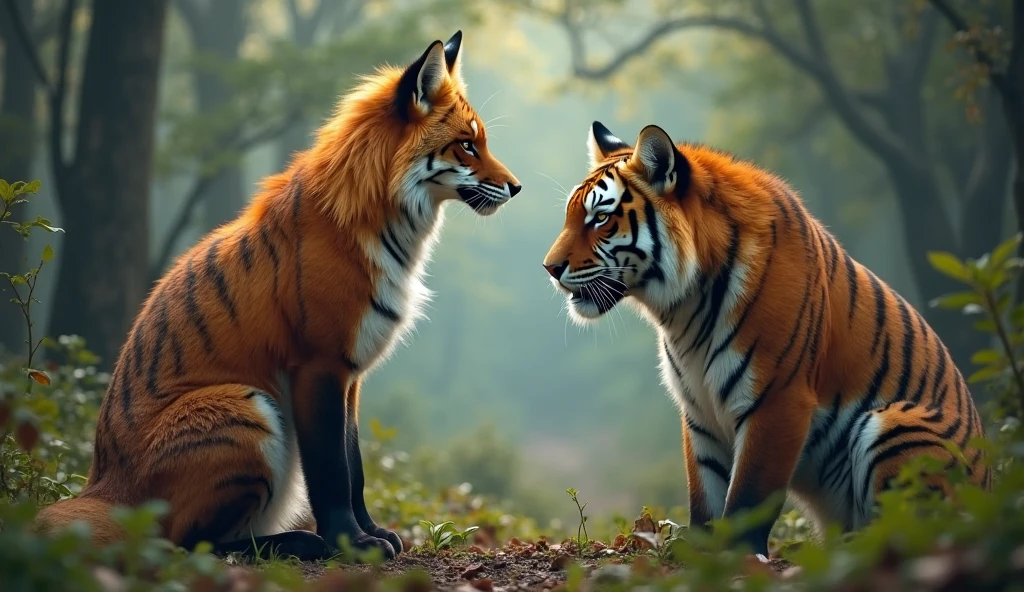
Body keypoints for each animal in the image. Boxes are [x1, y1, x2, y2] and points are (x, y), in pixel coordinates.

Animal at [35, 30, 522, 561]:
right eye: (466, 146)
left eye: (481, 143)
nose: (517, 187)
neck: (386, 235)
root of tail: (103, 489)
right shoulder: (319, 365)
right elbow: (332, 475)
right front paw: (351, 543)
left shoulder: (351, 376)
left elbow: (355, 470)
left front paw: (373, 533)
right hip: (246, 409)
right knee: (187, 544)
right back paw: (300, 542)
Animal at [542, 121, 990, 560]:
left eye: (600, 218)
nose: (549, 267)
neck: (684, 309)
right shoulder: (699, 410)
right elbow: (705, 493)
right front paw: (699, 553)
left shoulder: (778, 399)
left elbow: (749, 495)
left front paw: (739, 558)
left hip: (894, 425)